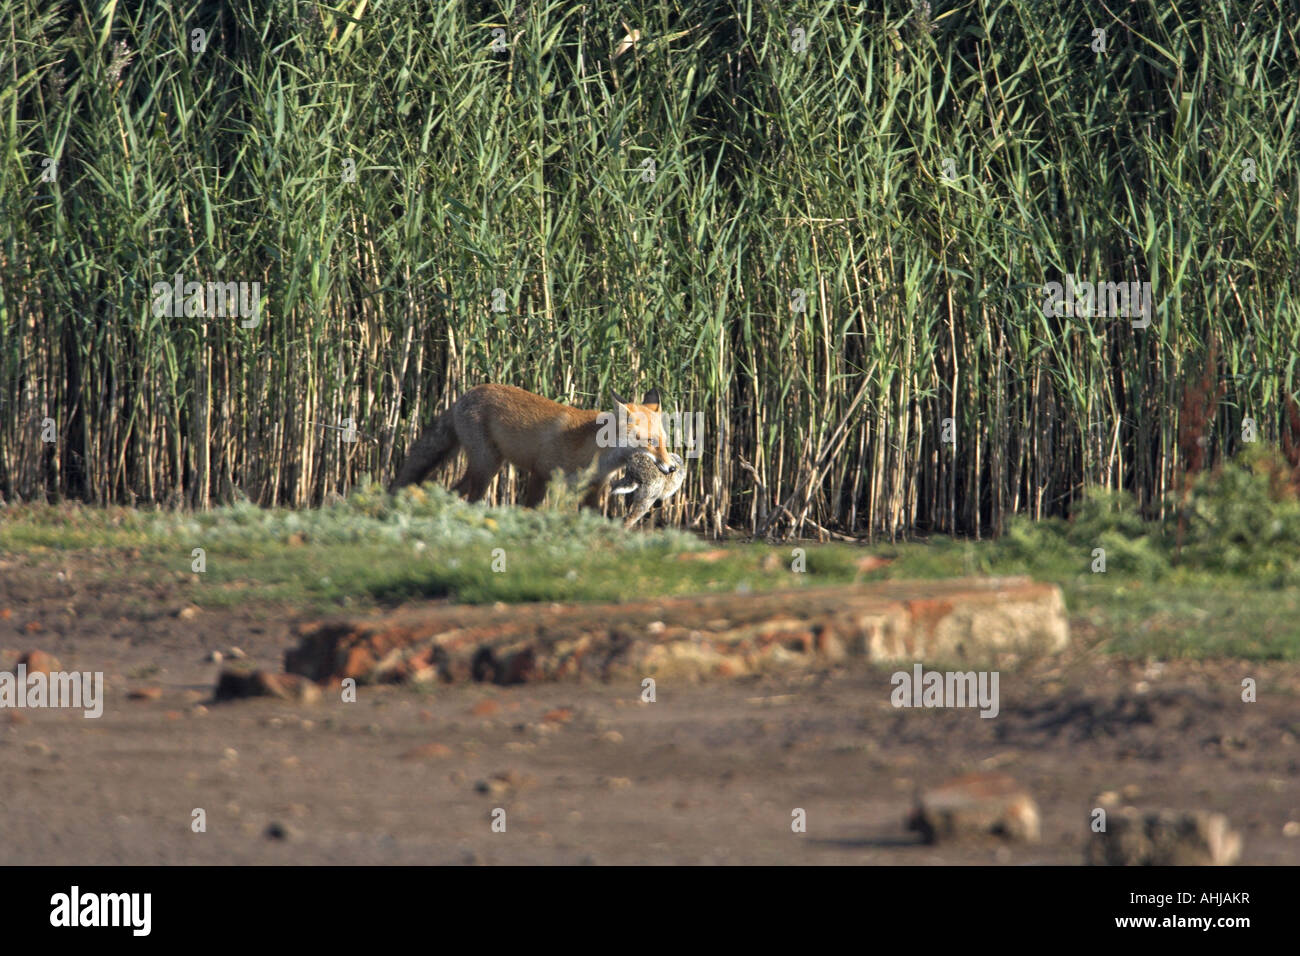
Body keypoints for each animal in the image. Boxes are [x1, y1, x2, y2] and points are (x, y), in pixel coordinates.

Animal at [388, 384, 677, 509]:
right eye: (650, 443)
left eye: (665, 442)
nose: (672, 468)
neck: (595, 452)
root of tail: (466, 393)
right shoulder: (541, 473)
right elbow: (530, 510)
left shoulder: (593, 488)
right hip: (487, 467)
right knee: (469, 498)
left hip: (485, 466)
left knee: (452, 491)